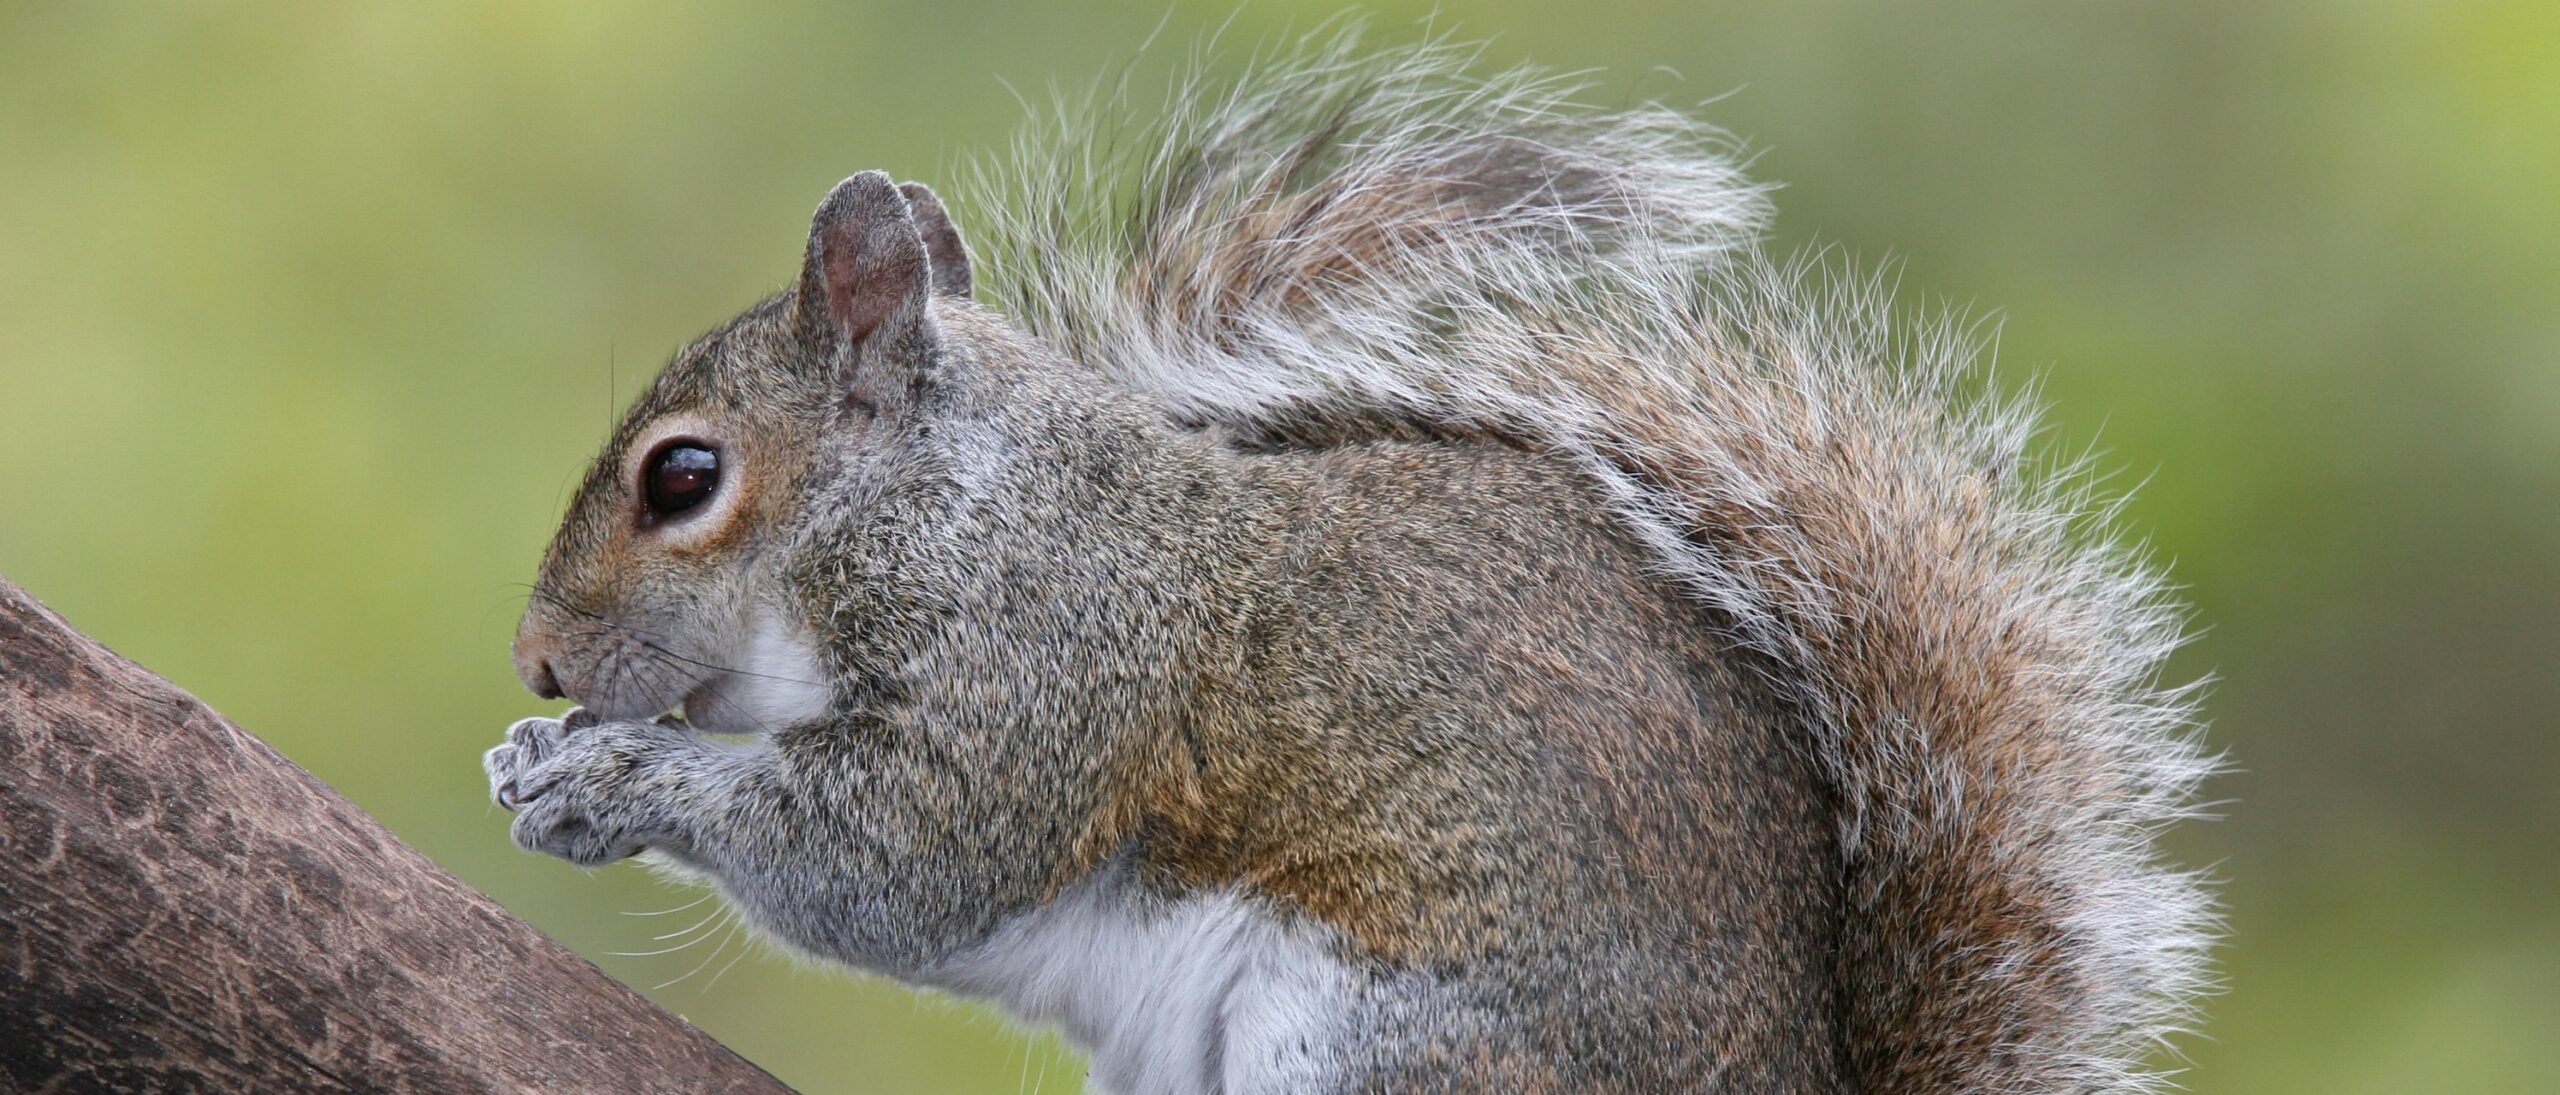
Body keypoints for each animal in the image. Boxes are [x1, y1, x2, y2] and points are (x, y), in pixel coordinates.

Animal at [484, 38, 2214, 1095]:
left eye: (683, 477)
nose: (538, 662)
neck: (946, 503)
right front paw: (535, 753)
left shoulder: (1046, 663)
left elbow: (889, 850)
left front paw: (607, 777)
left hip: (1383, 1045)